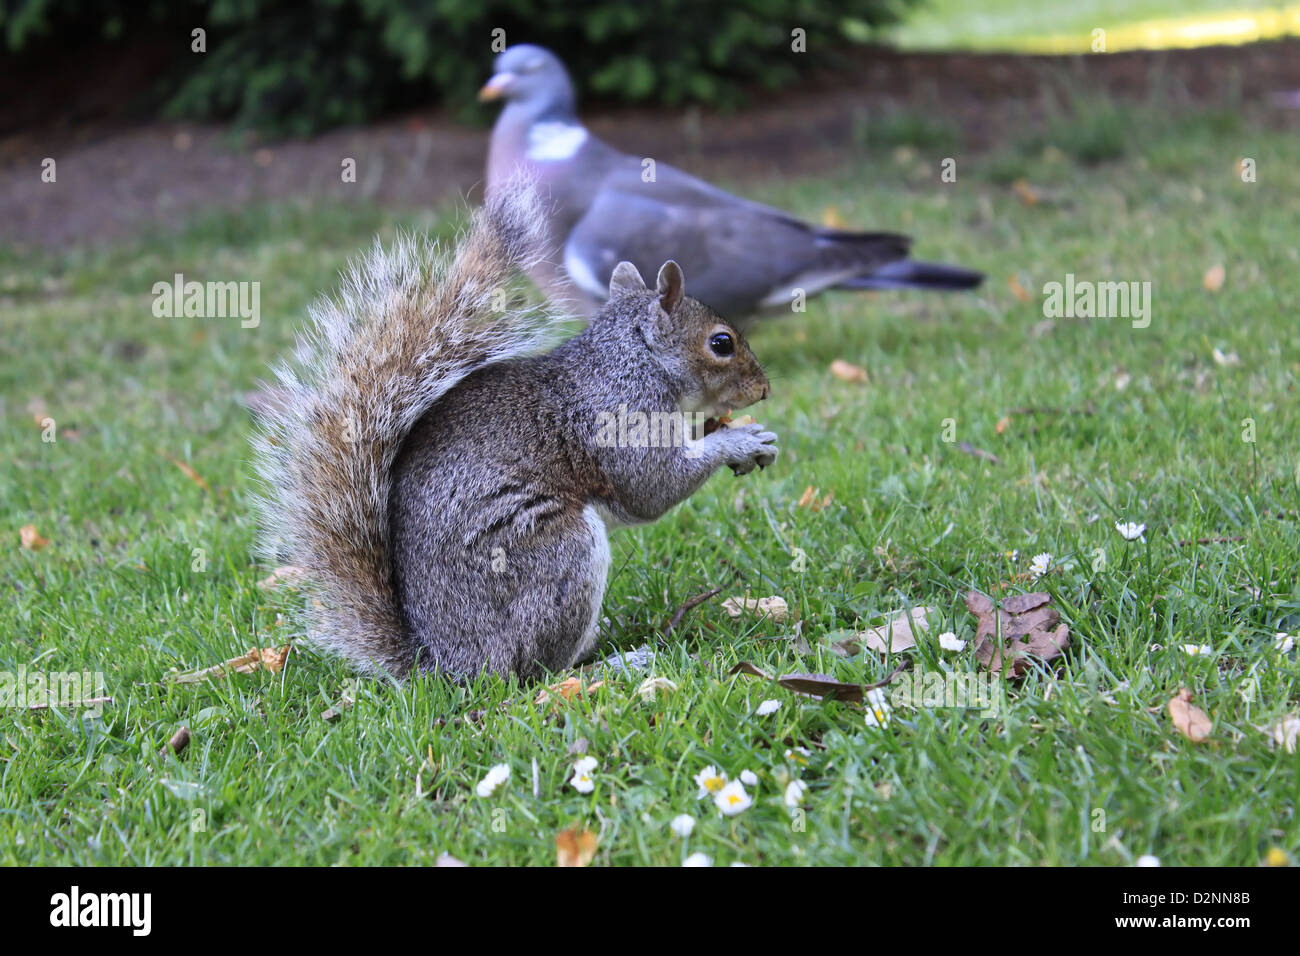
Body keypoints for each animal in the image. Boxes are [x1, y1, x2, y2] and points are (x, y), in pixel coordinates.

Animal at [253, 181, 778, 682]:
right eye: (721, 343)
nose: (765, 389)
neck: (634, 358)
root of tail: (446, 665)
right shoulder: (622, 414)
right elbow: (652, 487)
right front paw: (739, 440)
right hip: (553, 553)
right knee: (535, 673)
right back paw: (614, 663)